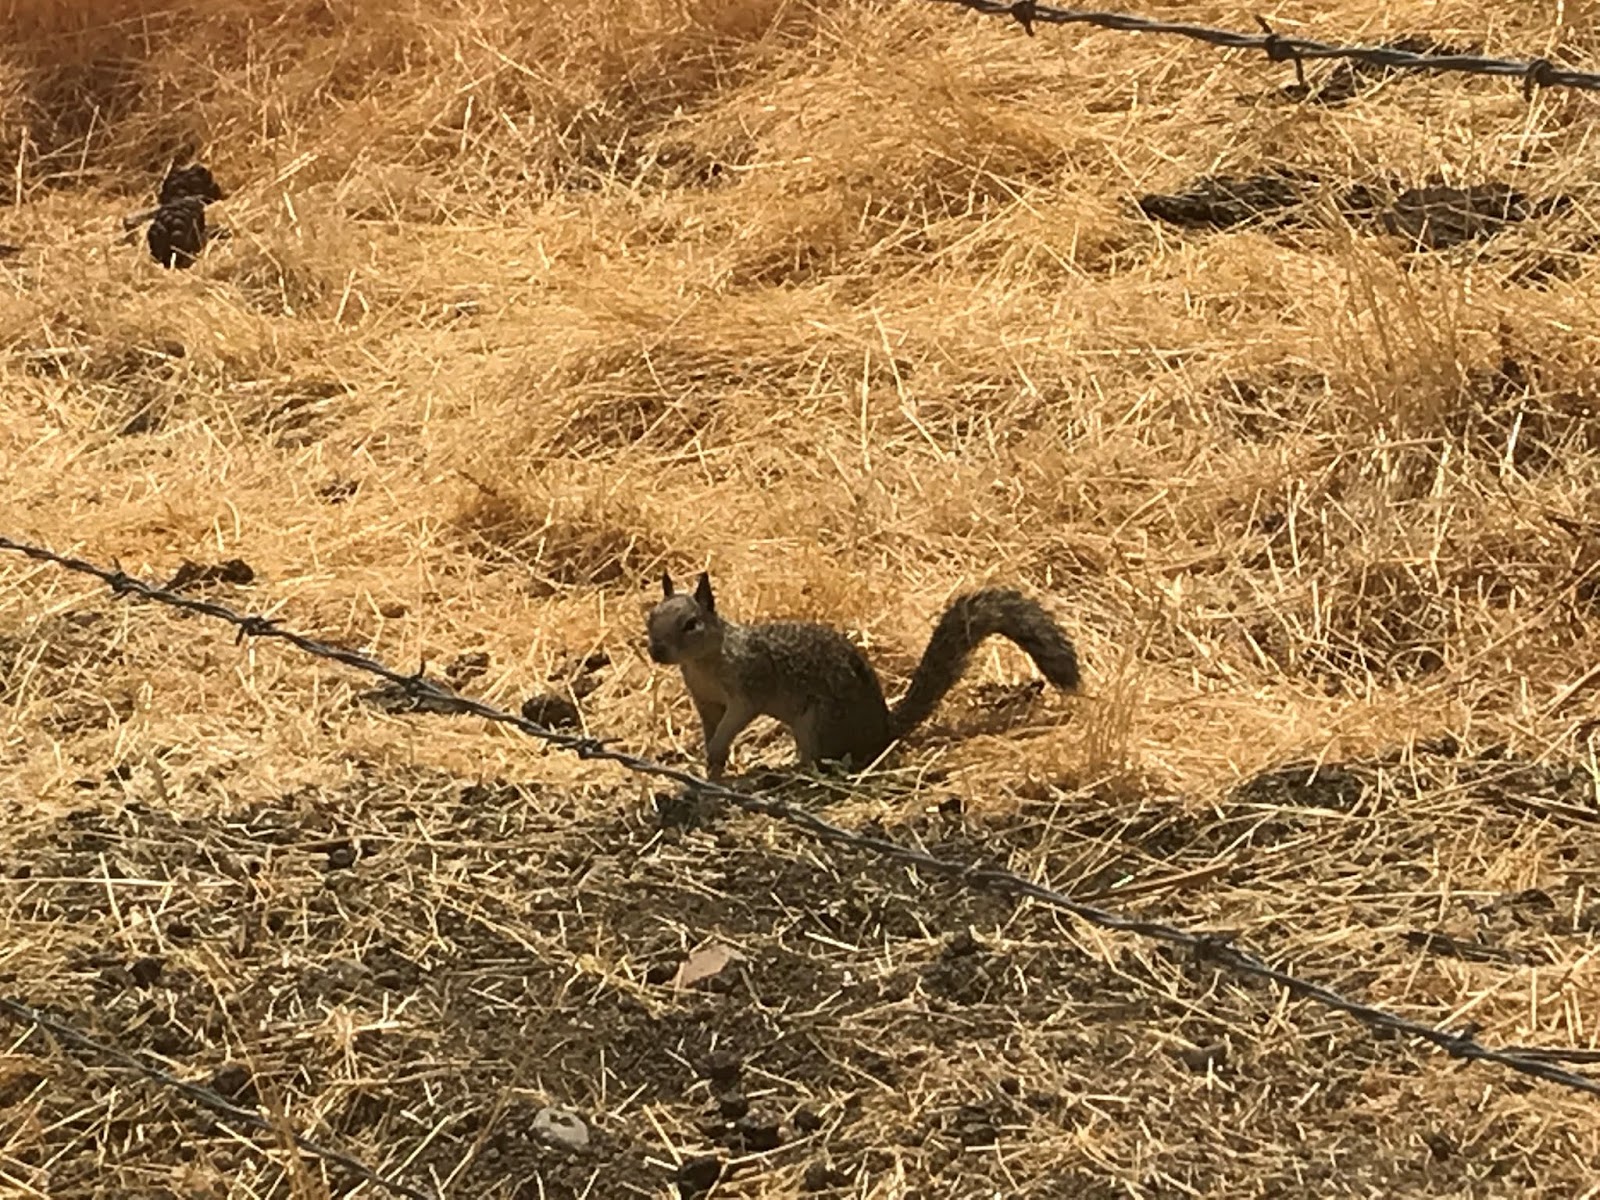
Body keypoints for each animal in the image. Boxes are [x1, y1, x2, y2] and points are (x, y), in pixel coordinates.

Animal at [647, 571, 1080, 778]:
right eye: (650, 615)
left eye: (691, 624)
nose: (656, 650)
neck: (705, 662)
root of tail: (881, 729)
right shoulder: (705, 700)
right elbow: (711, 730)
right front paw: (711, 765)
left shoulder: (749, 684)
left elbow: (737, 719)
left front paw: (718, 752)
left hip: (818, 725)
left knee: (830, 761)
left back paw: (790, 770)